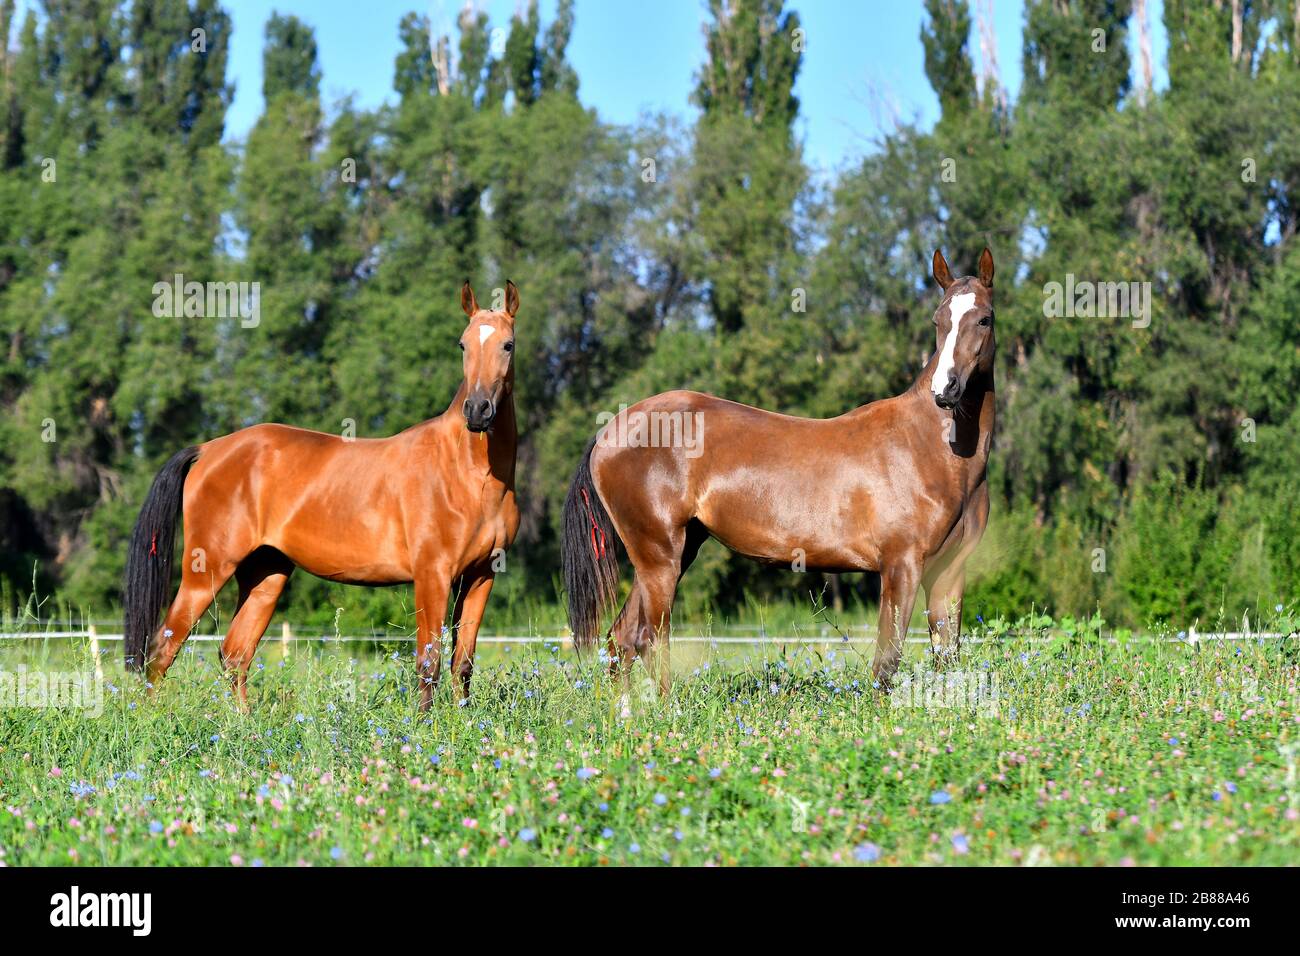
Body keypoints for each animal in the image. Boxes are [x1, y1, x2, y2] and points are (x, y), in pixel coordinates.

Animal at [123, 281, 521, 710]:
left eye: (508, 345)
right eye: (463, 344)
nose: (477, 411)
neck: (471, 475)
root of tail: (208, 450)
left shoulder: (480, 576)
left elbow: (462, 664)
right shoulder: (433, 574)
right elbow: (427, 663)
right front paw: (424, 726)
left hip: (266, 573)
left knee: (234, 655)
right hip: (206, 570)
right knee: (162, 652)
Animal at [562, 249, 995, 693]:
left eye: (984, 318)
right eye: (938, 320)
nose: (945, 390)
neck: (929, 448)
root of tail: (611, 430)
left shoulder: (948, 571)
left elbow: (946, 655)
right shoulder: (901, 566)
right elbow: (886, 664)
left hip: (670, 555)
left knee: (622, 641)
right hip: (658, 558)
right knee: (650, 640)